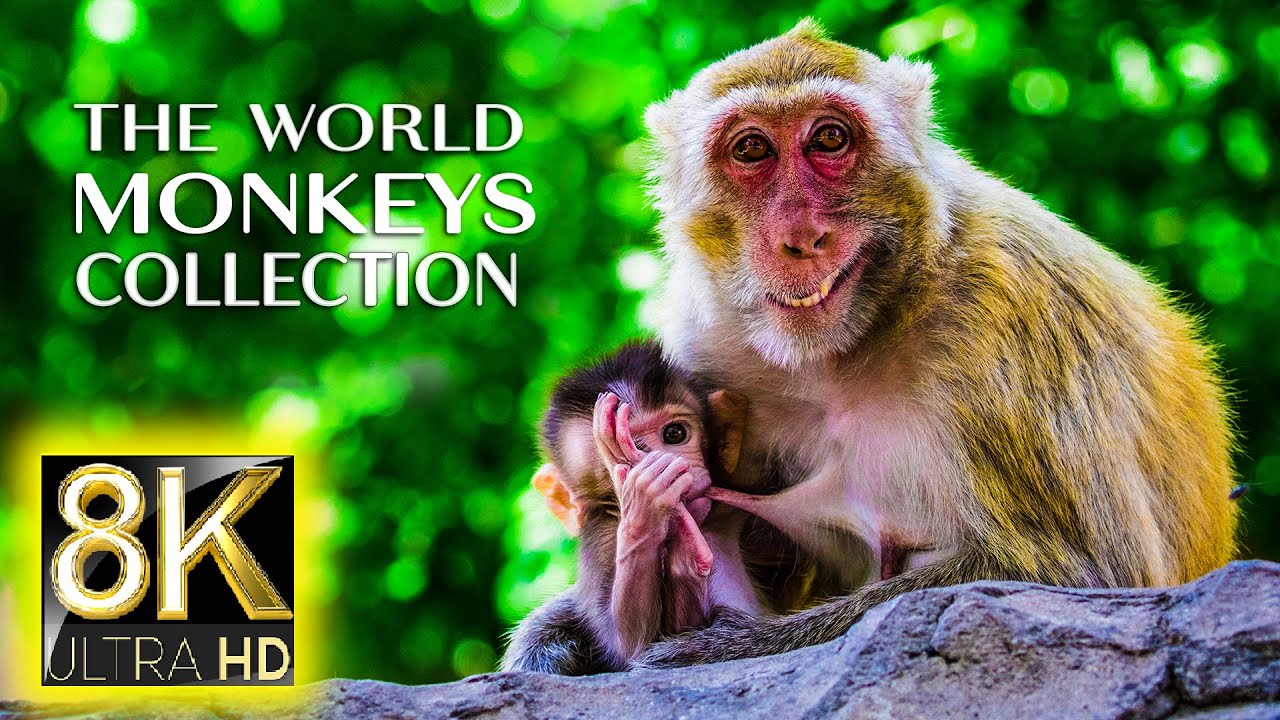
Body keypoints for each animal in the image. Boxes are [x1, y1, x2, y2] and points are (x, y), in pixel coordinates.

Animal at [500, 340, 764, 674]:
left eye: (675, 434)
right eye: (630, 451)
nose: (676, 469)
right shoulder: (602, 535)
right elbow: (629, 646)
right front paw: (648, 513)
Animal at [632, 19, 1239, 667]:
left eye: (829, 138)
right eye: (751, 150)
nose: (800, 235)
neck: (841, 357)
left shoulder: (1003, 315)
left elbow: (1093, 575)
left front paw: (725, 644)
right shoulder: (705, 349)